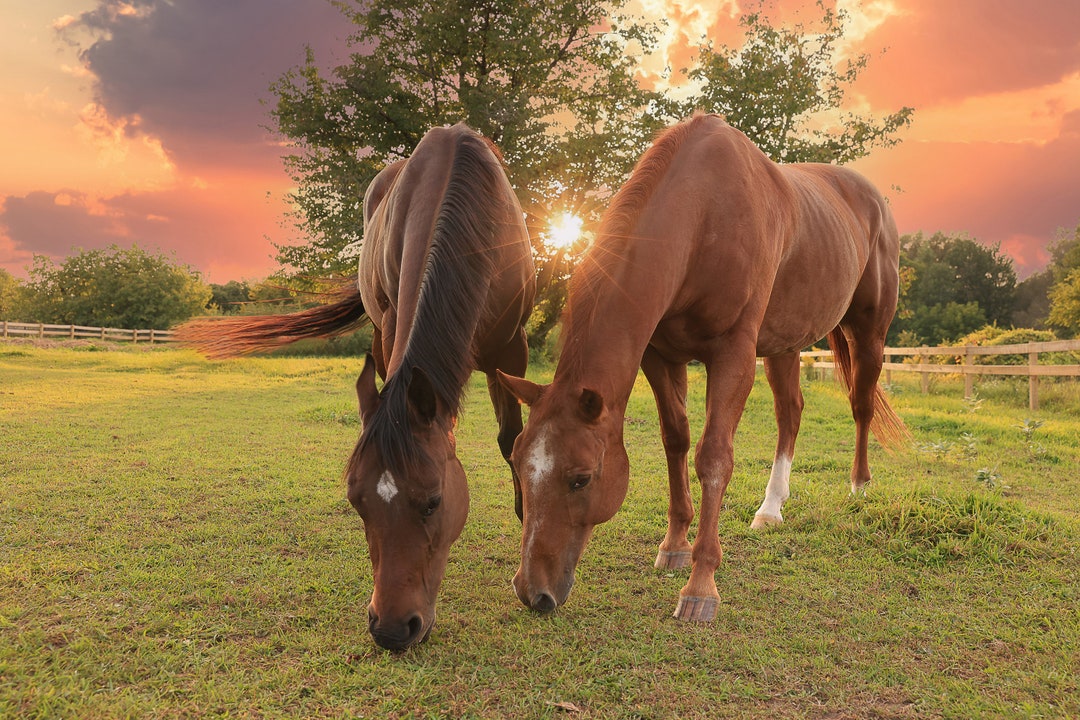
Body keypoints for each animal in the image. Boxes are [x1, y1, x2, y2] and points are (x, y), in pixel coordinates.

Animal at [176, 123, 535, 649]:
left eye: (433, 502)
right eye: (355, 501)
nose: (391, 628)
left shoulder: (512, 348)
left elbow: (514, 440)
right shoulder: (391, 329)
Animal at [497, 114, 906, 622]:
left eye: (581, 478)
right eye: (517, 465)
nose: (533, 592)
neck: (704, 216)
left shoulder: (733, 356)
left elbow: (713, 457)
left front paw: (701, 585)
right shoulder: (660, 356)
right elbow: (676, 440)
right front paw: (673, 545)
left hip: (868, 333)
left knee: (861, 405)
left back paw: (859, 485)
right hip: (784, 345)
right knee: (790, 413)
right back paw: (771, 509)